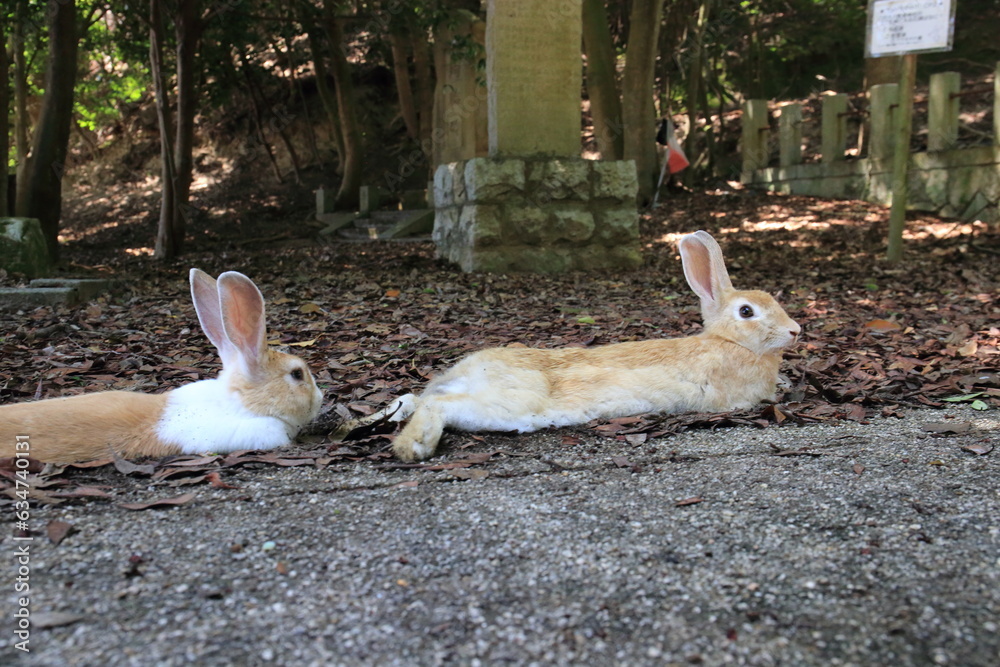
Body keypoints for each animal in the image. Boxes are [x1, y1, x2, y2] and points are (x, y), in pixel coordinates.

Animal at [360, 230, 800, 461]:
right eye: (747, 311)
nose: (795, 331)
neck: (730, 343)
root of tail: (462, 374)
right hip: (512, 406)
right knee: (438, 406)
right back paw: (414, 446)